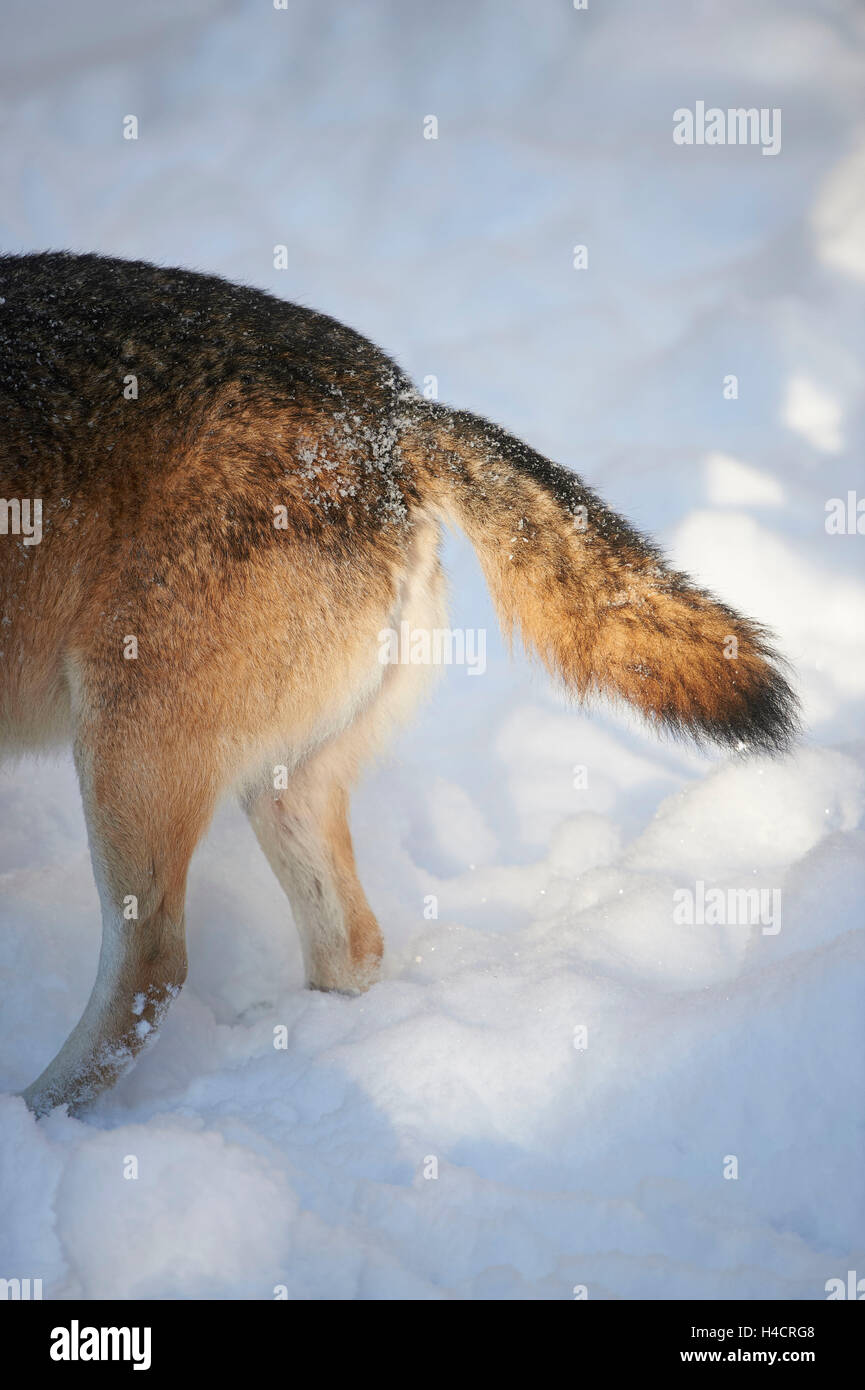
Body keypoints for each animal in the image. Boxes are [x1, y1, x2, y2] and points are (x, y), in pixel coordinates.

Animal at [0, 252, 797, 1115]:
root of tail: (392, 411)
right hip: (279, 786)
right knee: (351, 944)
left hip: (126, 758)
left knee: (156, 965)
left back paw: (38, 1115)